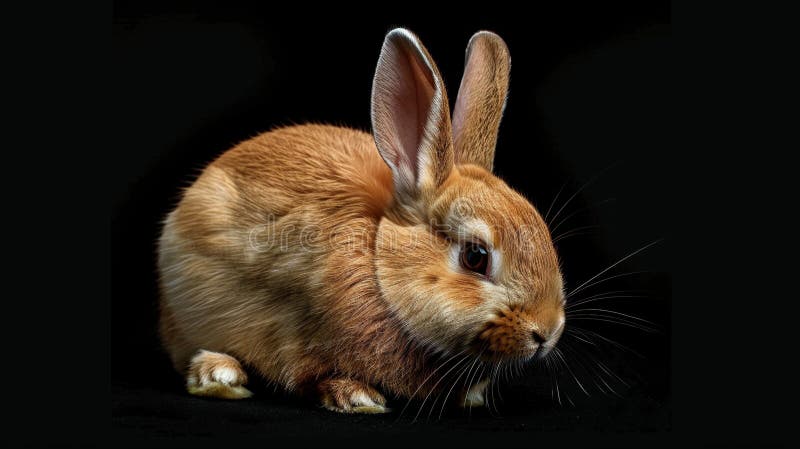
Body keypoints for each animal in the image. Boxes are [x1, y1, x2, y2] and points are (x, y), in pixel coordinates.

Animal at [157, 28, 565, 414]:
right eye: (475, 257)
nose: (546, 331)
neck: (379, 266)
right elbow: (312, 373)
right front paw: (358, 397)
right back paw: (219, 375)